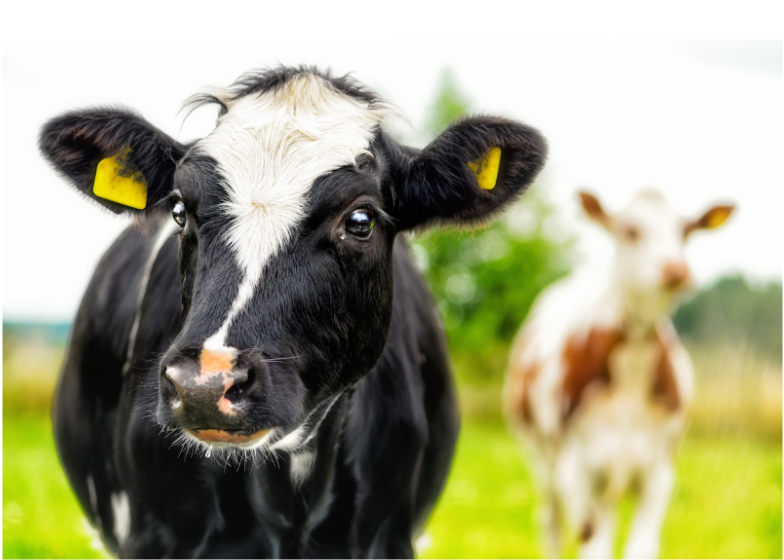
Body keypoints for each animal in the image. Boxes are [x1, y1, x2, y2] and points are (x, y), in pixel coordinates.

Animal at [504, 190, 734, 558]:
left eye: (685, 232)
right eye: (630, 230)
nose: (676, 269)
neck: (632, 371)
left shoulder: (659, 470)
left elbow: (640, 548)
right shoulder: (576, 470)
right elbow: (592, 546)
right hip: (542, 460)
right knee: (550, 522)